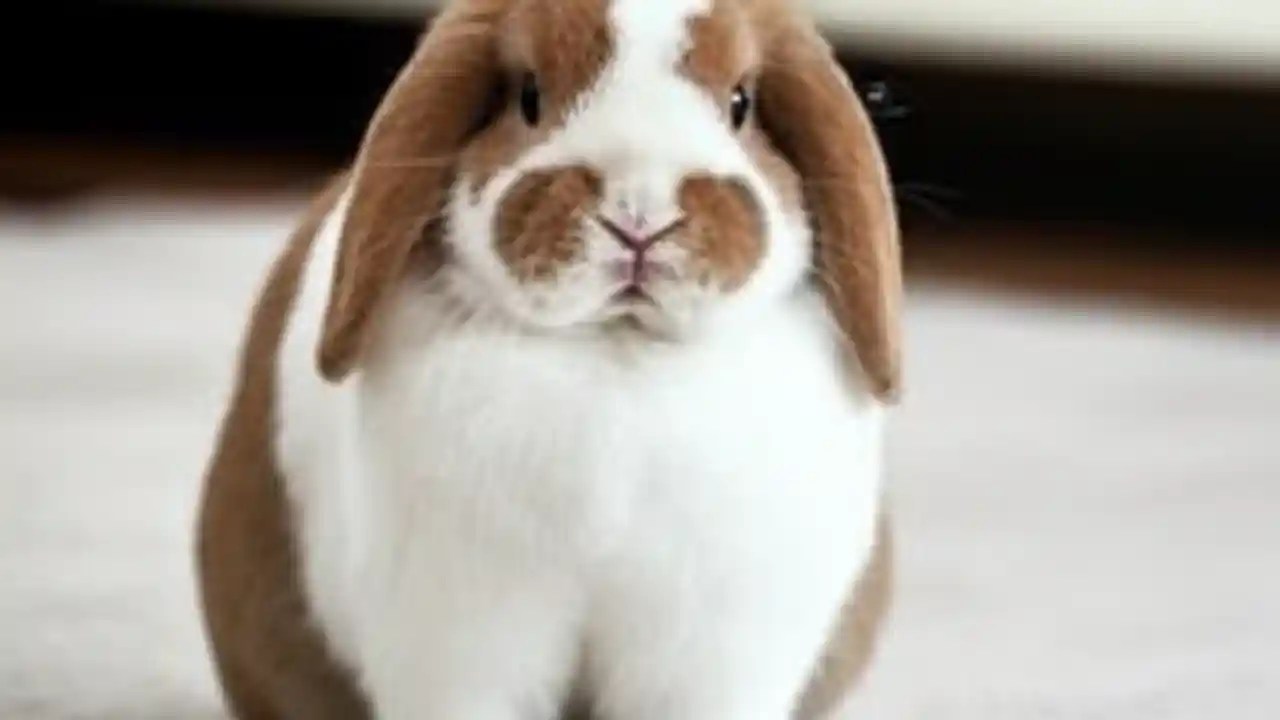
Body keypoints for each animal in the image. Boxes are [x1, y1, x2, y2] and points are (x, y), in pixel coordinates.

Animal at [195, 0, 902, 718]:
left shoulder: (710, 657)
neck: (617, 351)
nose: (640, 214)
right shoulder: (459, 640)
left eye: (741, 103)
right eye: (529, 96)